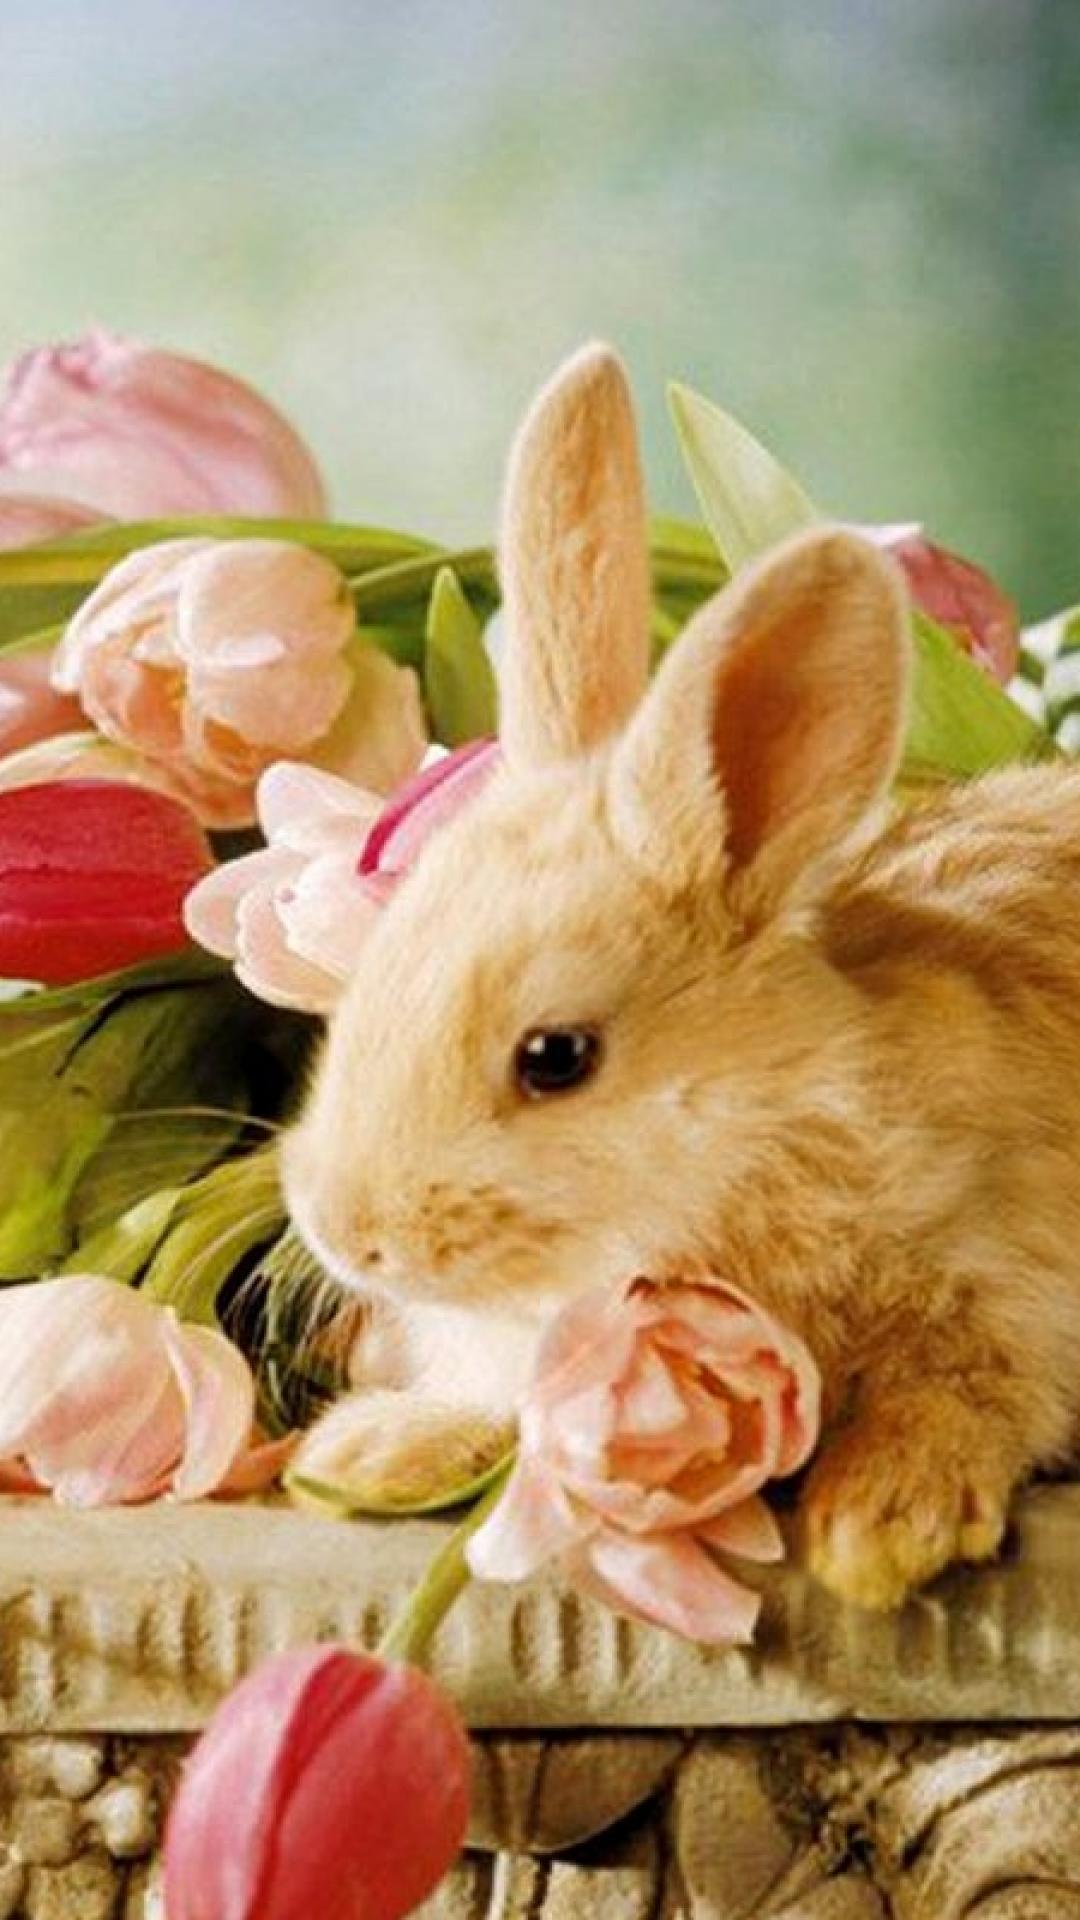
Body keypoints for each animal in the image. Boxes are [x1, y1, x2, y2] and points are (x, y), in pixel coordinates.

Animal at [283, 340, 1080, 1611]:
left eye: (557, 1057)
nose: (346, 1232)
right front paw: (370, 1450)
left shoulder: (1013, 1287)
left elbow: (966, 1393)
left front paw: (878, 1532)